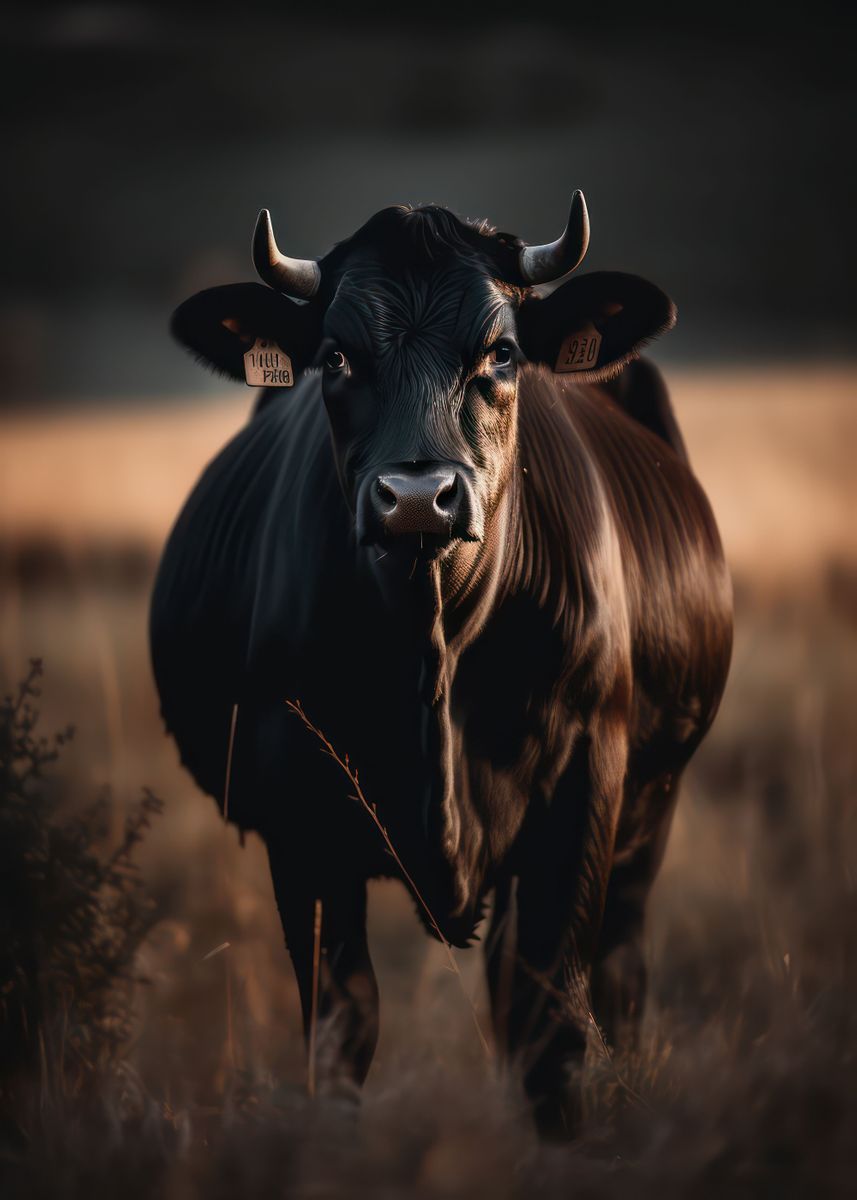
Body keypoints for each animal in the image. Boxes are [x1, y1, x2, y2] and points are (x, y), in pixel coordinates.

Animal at [150, 193, 732, 1137]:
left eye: (500, 353)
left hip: (653, 806)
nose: (418, 498)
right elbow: (343, 1023)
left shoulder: (585, 785)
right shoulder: (299, 814)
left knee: (613, 976)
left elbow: (554, 1028)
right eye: (336, 356)